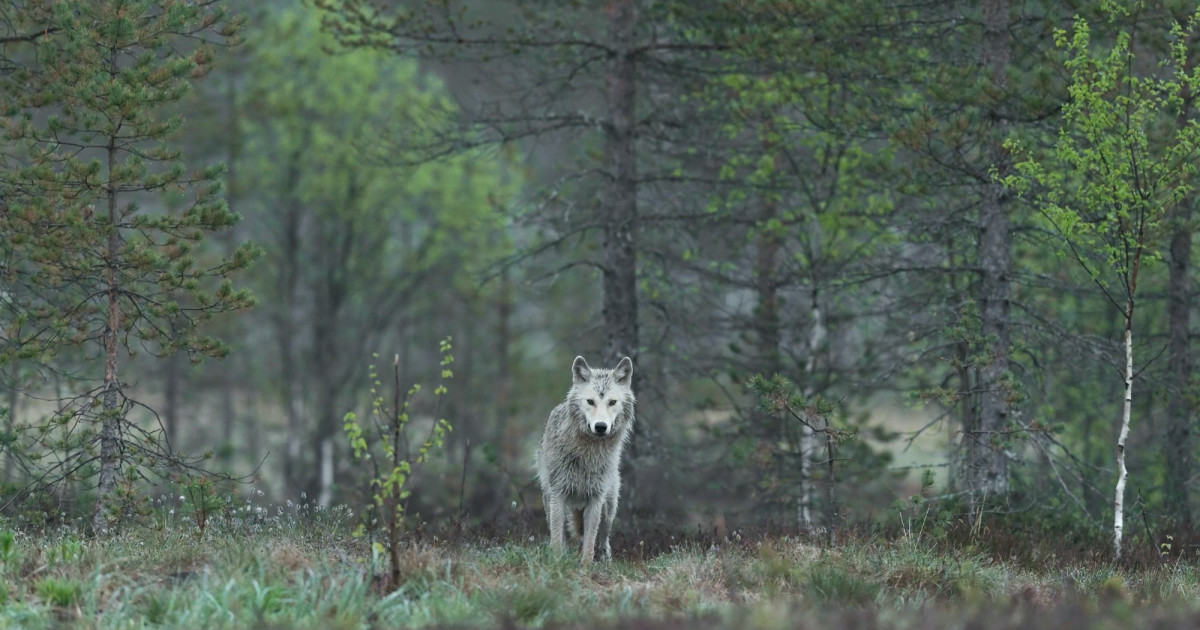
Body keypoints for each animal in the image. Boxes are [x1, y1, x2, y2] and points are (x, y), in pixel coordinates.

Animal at [535, 355, 635, 565]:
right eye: (590, 401)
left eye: (612, 402)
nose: (600, 426)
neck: (588, 454)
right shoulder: (558, 495)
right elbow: (557, 539)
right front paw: (557, 563)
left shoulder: (596, 499)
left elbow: (590, 541)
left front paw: (586, 567)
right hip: (550, 502)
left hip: (609, 509)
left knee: (603, 539)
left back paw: (605, 561)